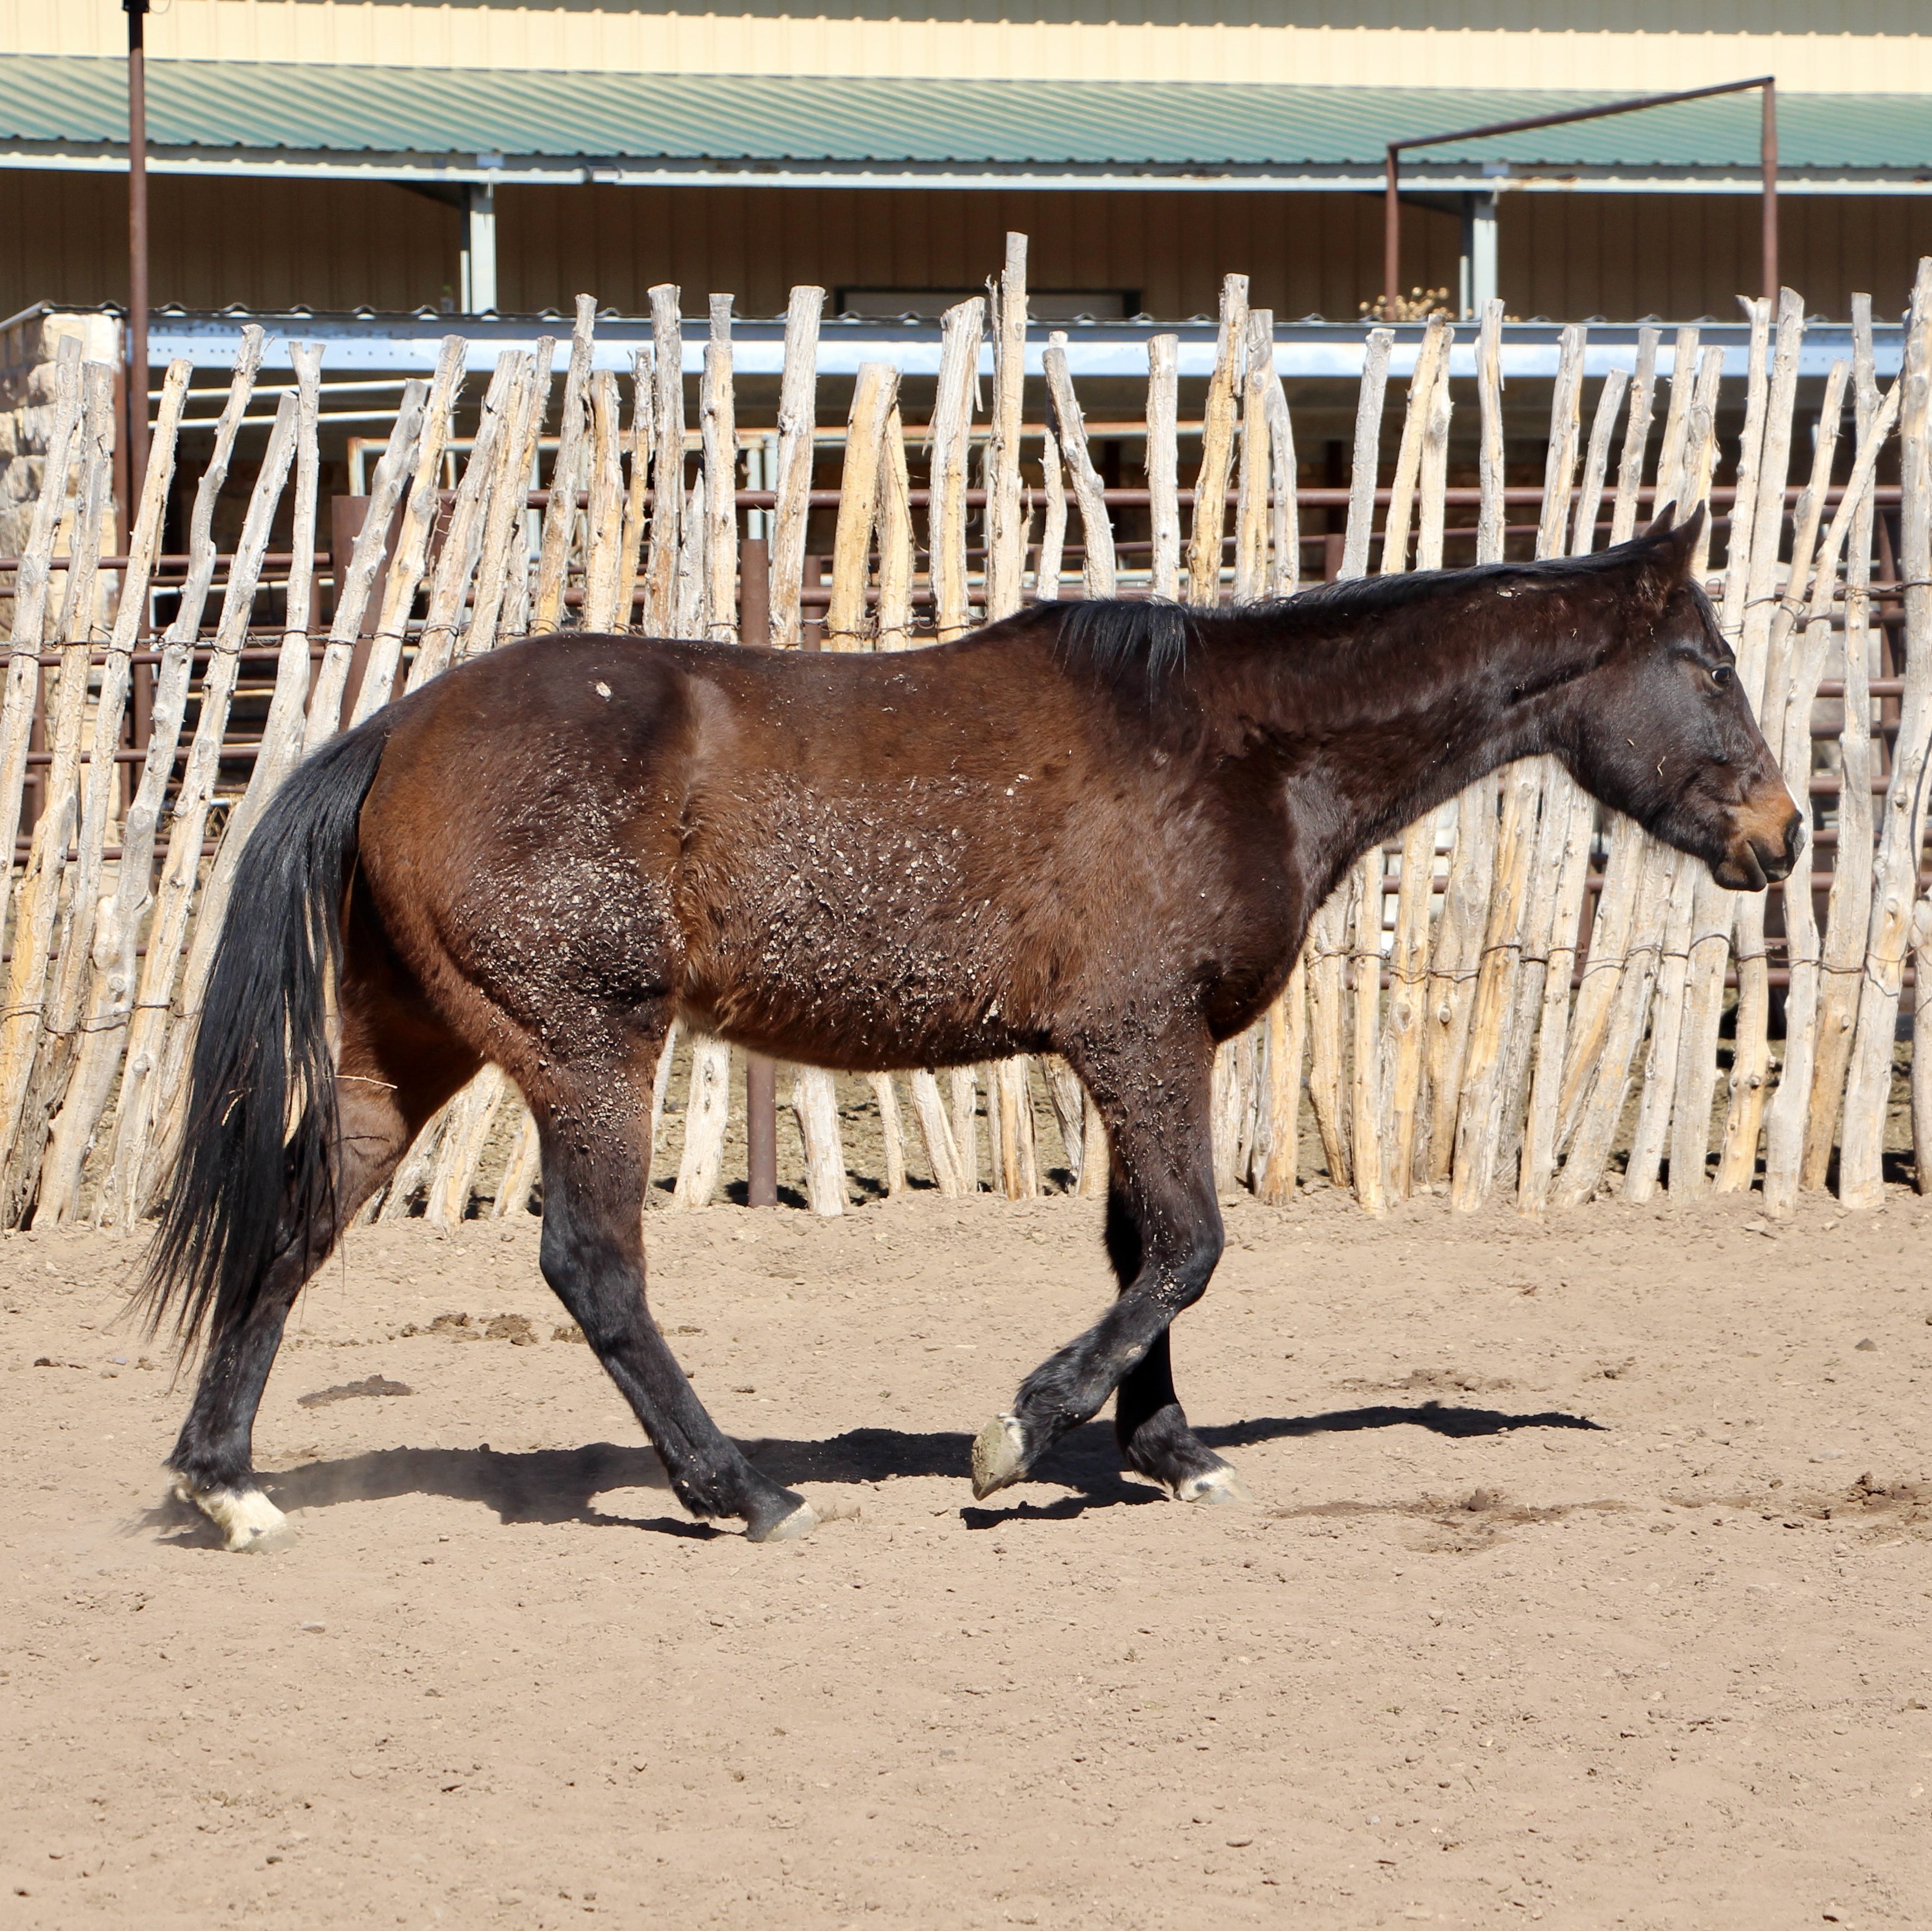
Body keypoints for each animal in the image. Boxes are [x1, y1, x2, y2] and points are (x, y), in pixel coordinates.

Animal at [140, 503, 1798, 1551]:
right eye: (1708, 663)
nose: (1782, 833)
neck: (1239, 749)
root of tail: (389, 734)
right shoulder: (1144, 1040)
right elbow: (1190, 1246)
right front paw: (1020, 1437)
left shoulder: (1140, 1050)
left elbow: (1144, 1253)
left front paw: (1168, 1451)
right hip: (587, 1049)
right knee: (592, 1269)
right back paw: (741, 1492)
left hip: (416, 1046)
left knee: (291, 1230)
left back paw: (225, 1486)